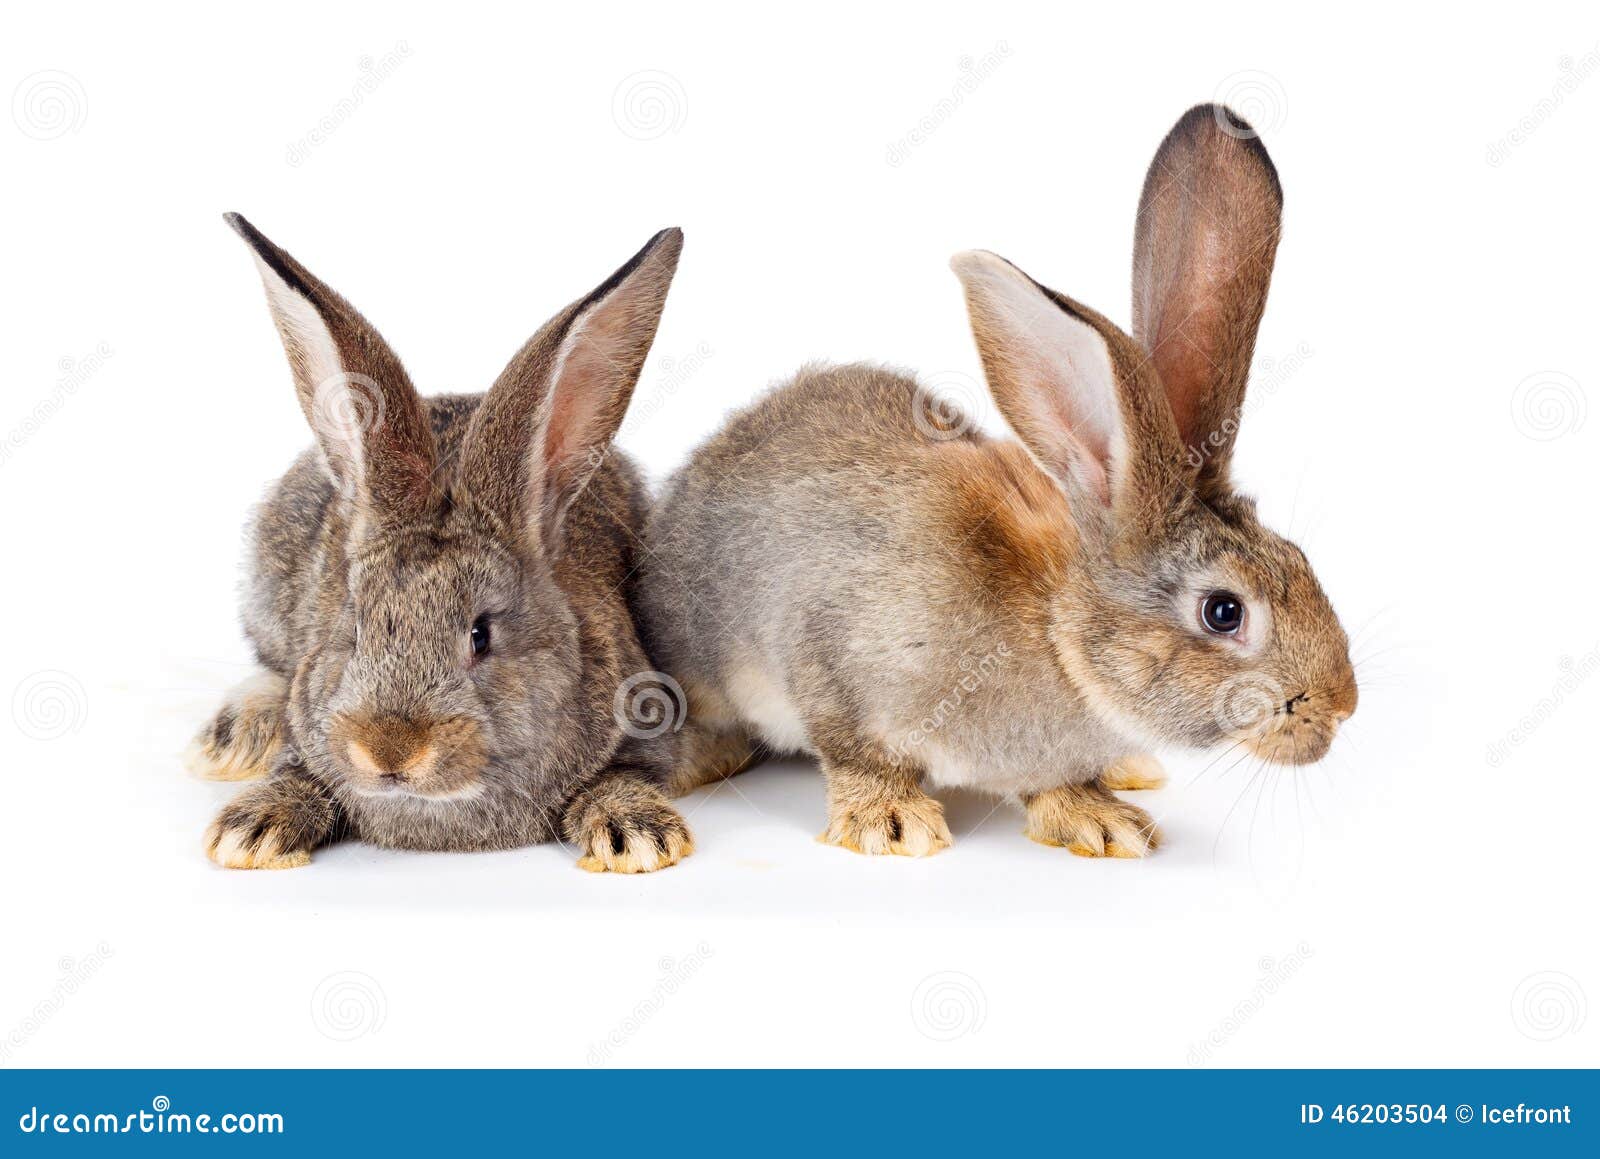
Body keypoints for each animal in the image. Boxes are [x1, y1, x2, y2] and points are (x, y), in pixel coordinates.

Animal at [186, 214, 693, 873]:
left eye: (481, 636)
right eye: (353, 630)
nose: (389, 752)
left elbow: (624, 777)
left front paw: (637, 835)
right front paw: (251, 831)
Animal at [635, 103, 1357, 858]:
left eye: (1300, 558)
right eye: (1224, 611)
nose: (1342, 704)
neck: (1060, 635)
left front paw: (1099, 818)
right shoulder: (831, 654)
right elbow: (855, 749)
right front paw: (891, 822)